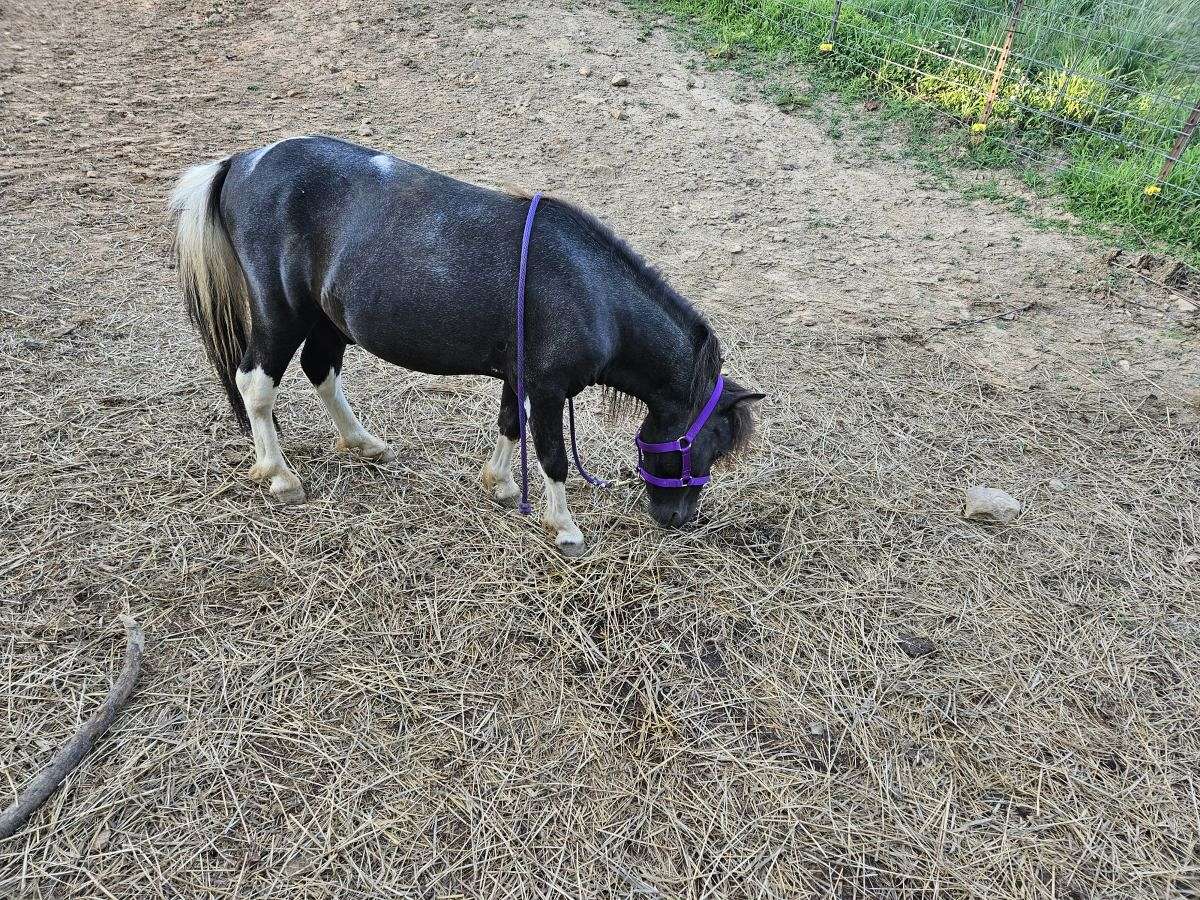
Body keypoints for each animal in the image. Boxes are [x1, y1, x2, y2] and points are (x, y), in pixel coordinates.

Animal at [168, 135, 763, 555]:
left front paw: (499, 484)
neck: (587, 289)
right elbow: (551, 456)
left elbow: (510, 426)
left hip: (326, 318)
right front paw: (565, 528)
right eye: (706, 443)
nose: (677, 518)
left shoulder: (519, 377)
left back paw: (363, 443)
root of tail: (241, 163)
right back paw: (279, 475)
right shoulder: (548, 388)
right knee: (256, 385)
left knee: (320, 369)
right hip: (281, 314)